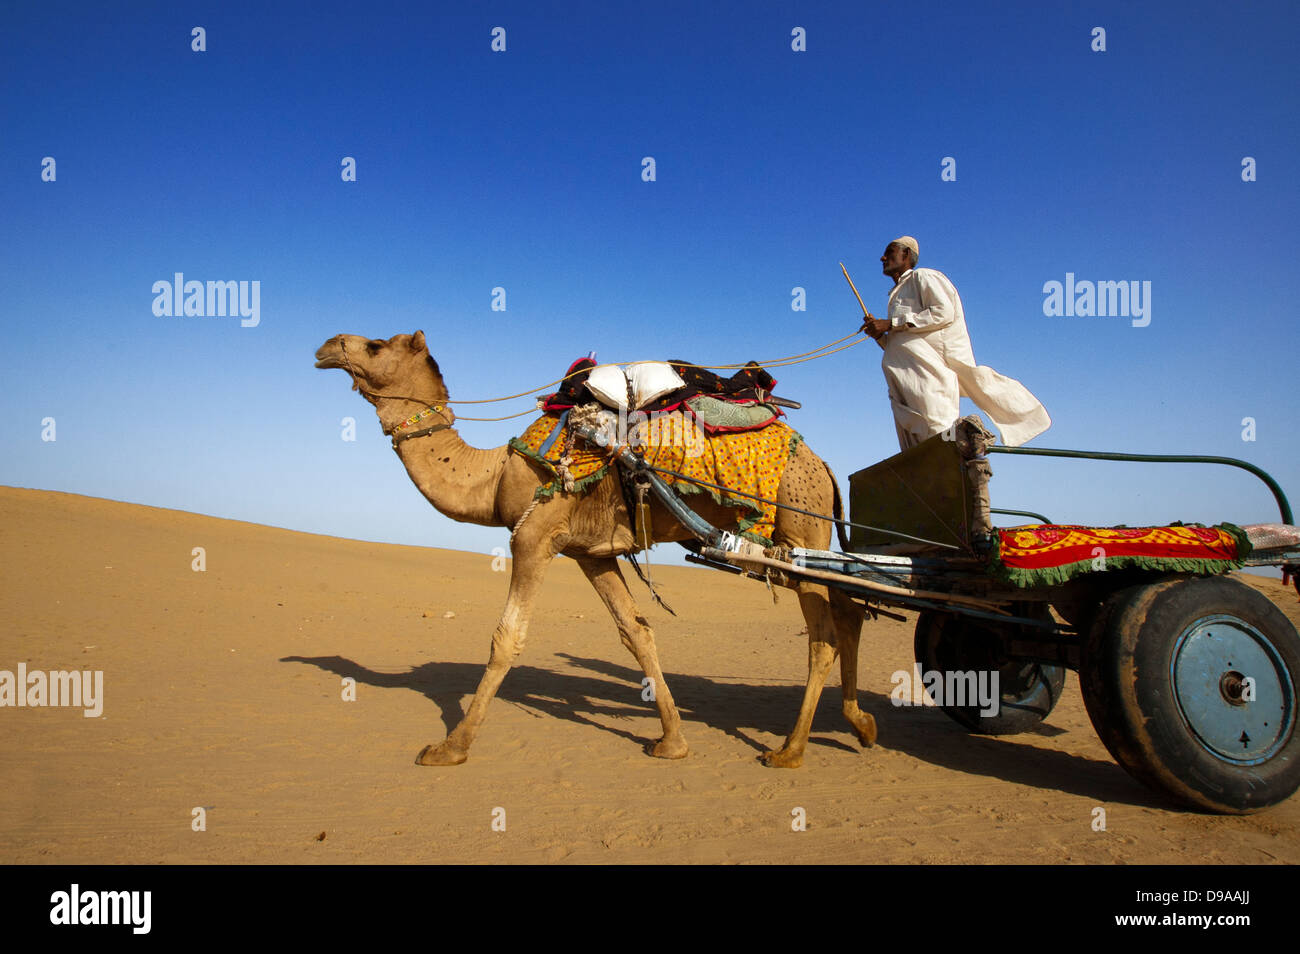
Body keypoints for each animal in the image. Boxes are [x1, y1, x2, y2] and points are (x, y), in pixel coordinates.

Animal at [314, 330, 876, 767]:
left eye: (375, 345)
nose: (327, 346)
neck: (495, 476)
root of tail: (825, 467)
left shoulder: (533, 538)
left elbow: (506, 639)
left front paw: (451, 747)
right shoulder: (592, 554)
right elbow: (637, 633)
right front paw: (672, 741)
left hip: (798, 532)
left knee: (823, 636)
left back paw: (791, 750)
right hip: (806, 545)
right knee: (849, 608)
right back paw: (861, 724)